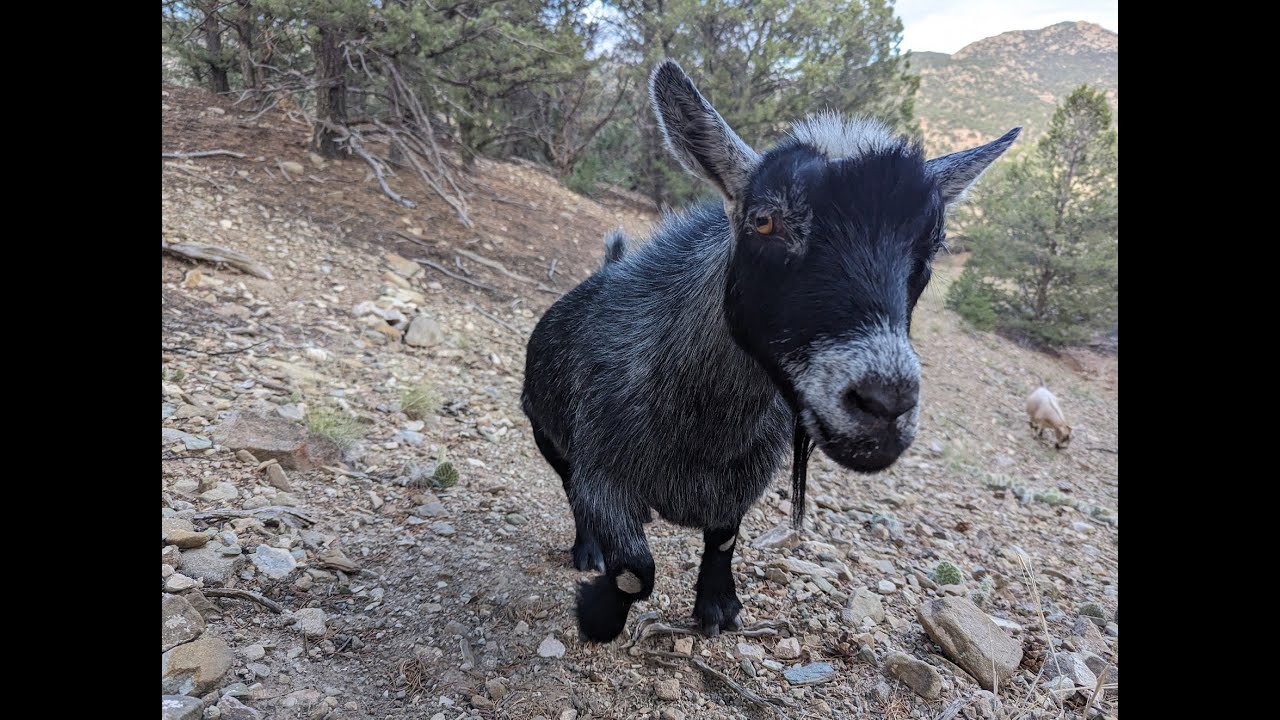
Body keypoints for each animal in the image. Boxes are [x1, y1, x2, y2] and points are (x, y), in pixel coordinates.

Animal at [521, 60, 1019, 643]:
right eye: (764, 220)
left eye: (932, 246)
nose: (884, 406)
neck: (703, 429)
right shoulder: (603, 474)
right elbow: (634, 570)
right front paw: (596, 613)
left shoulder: (740, 487)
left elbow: (724, 540)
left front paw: (718, 610)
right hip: (547, 433)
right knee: (569, 492)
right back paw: (586, 552)